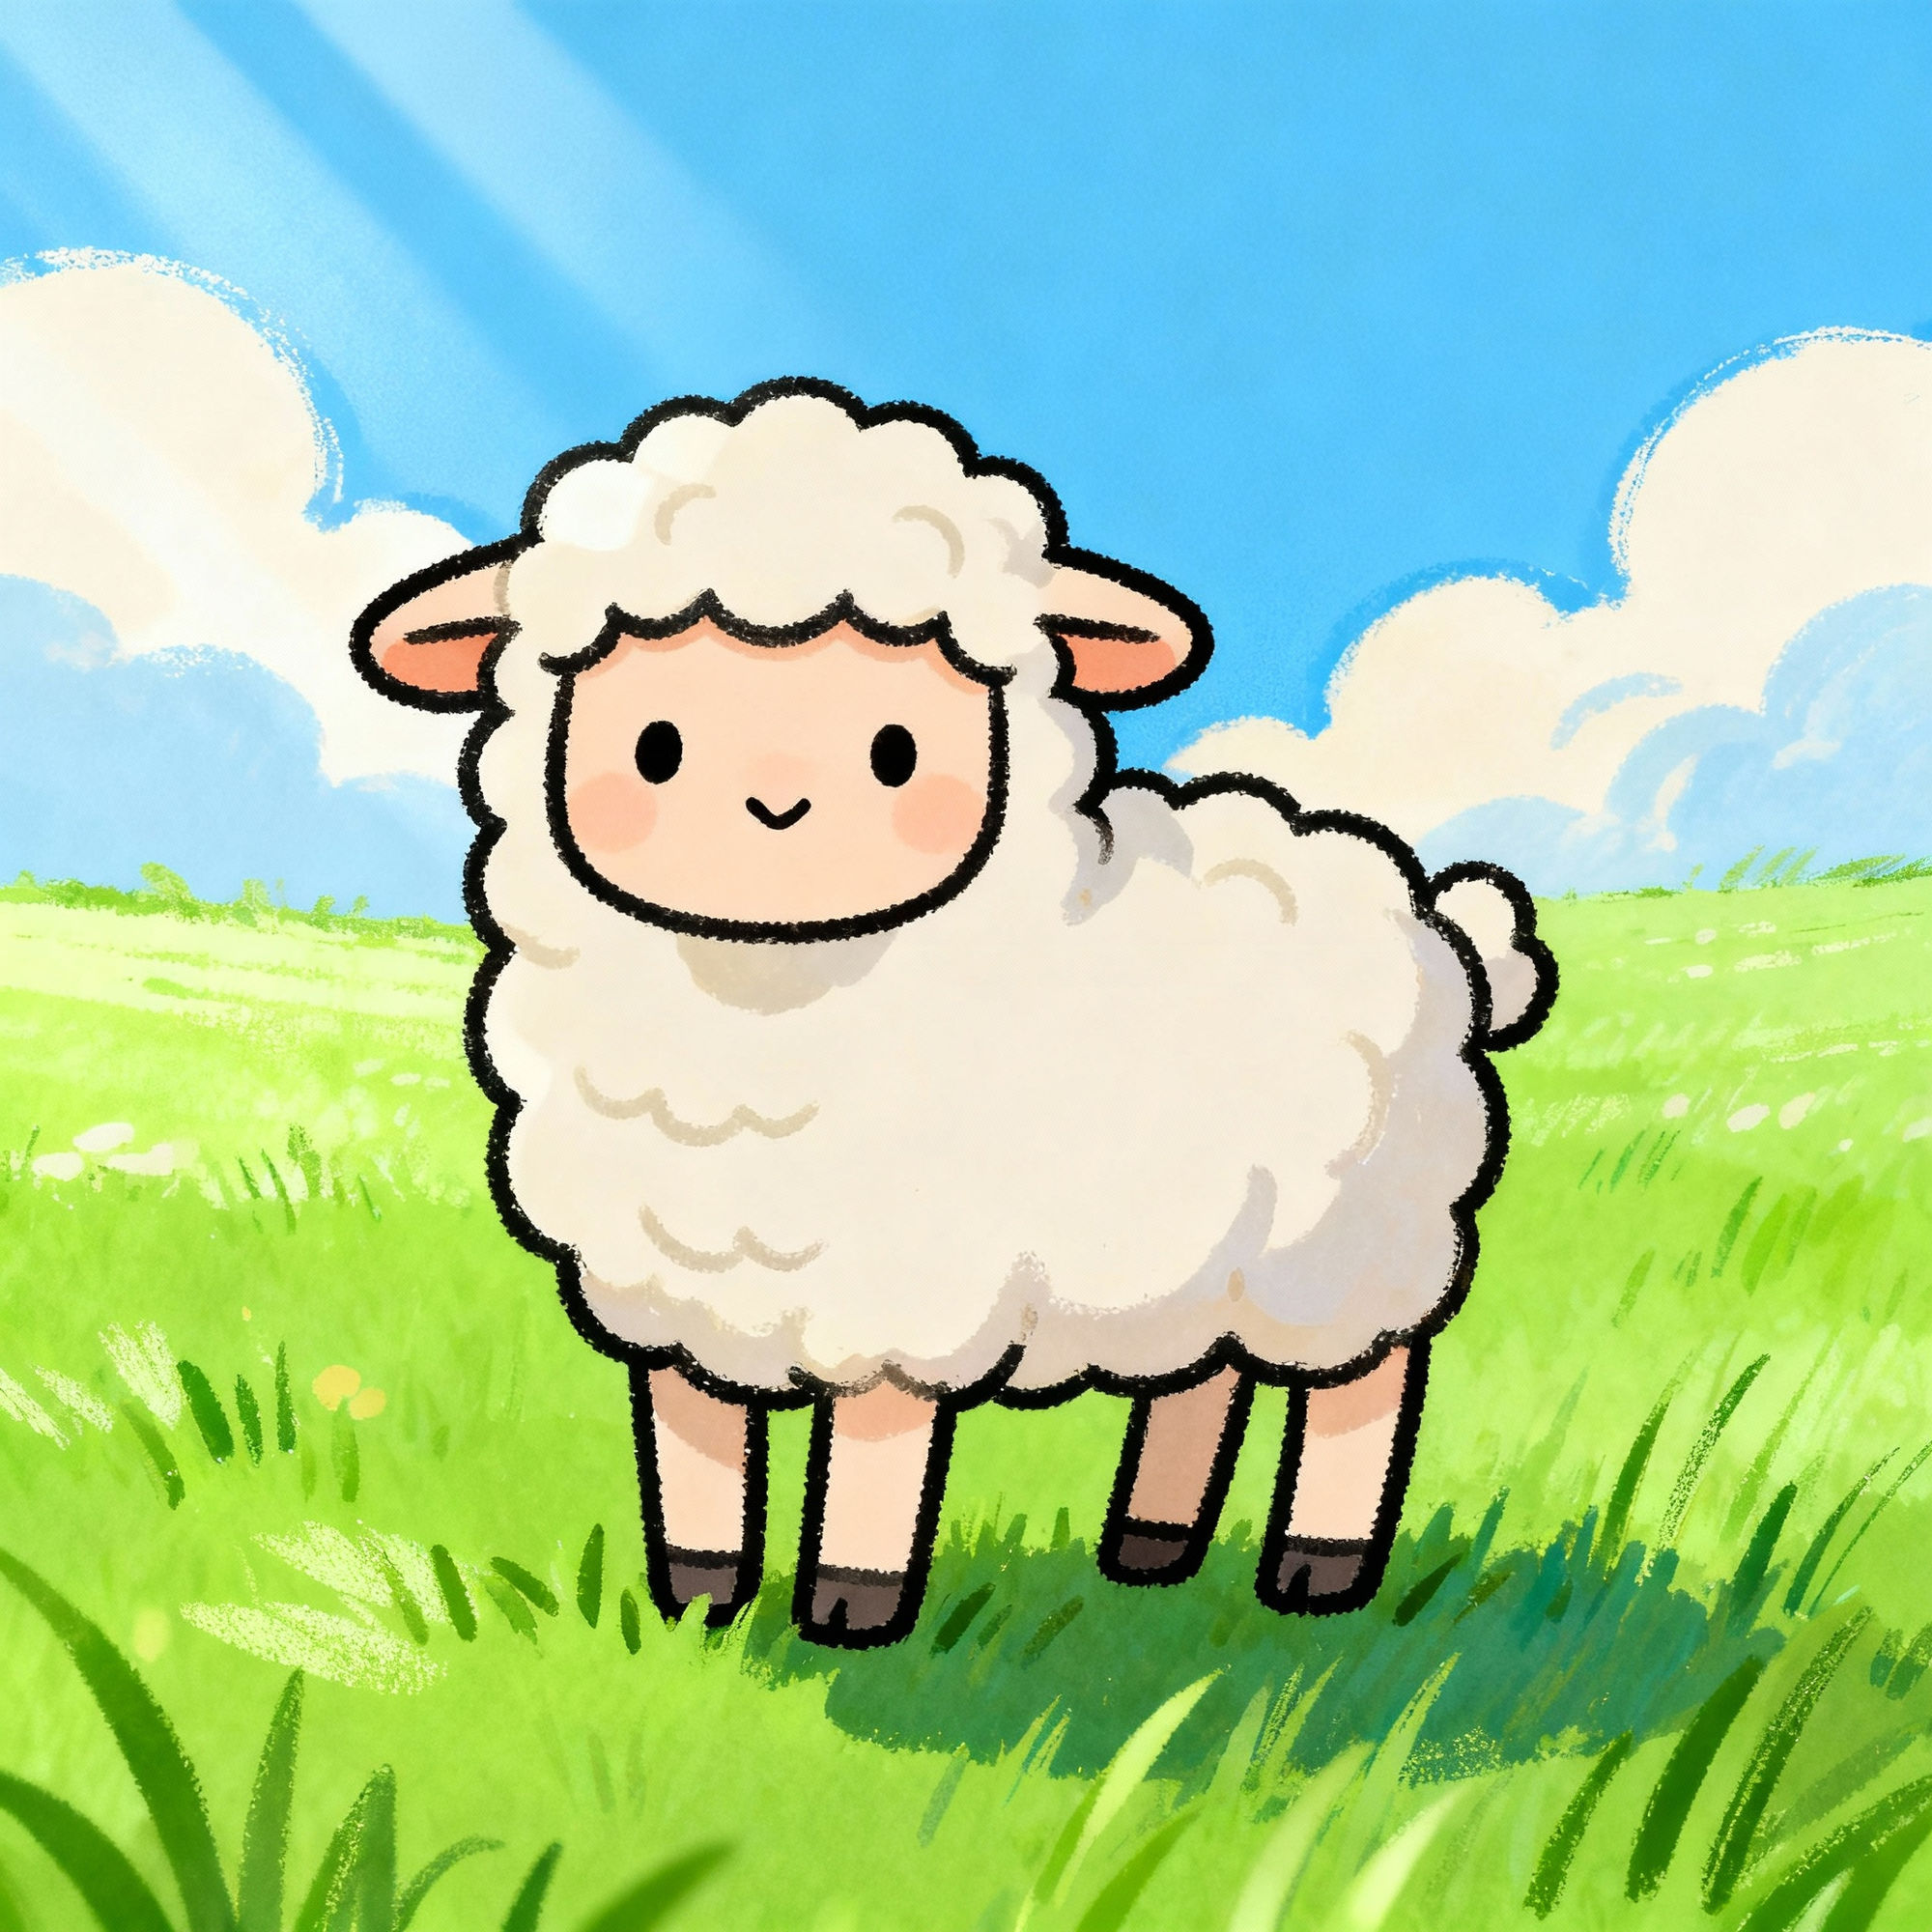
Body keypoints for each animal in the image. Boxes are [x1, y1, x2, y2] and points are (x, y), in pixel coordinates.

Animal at [352, 380, 1555, 1649]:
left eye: (896, 751)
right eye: (655, 745)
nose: (775, 806)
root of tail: (1436, 912)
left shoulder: (904, 1287)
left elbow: (876, 1458)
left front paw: (849, 1609)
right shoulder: (674, 1286)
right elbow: (697, 1456)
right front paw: (696, 1607)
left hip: (1356, 1253)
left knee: (1360, 1393)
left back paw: (1319, 1569)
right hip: (1209, 1249)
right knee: (1200, 1379)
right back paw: (1148, 1547)